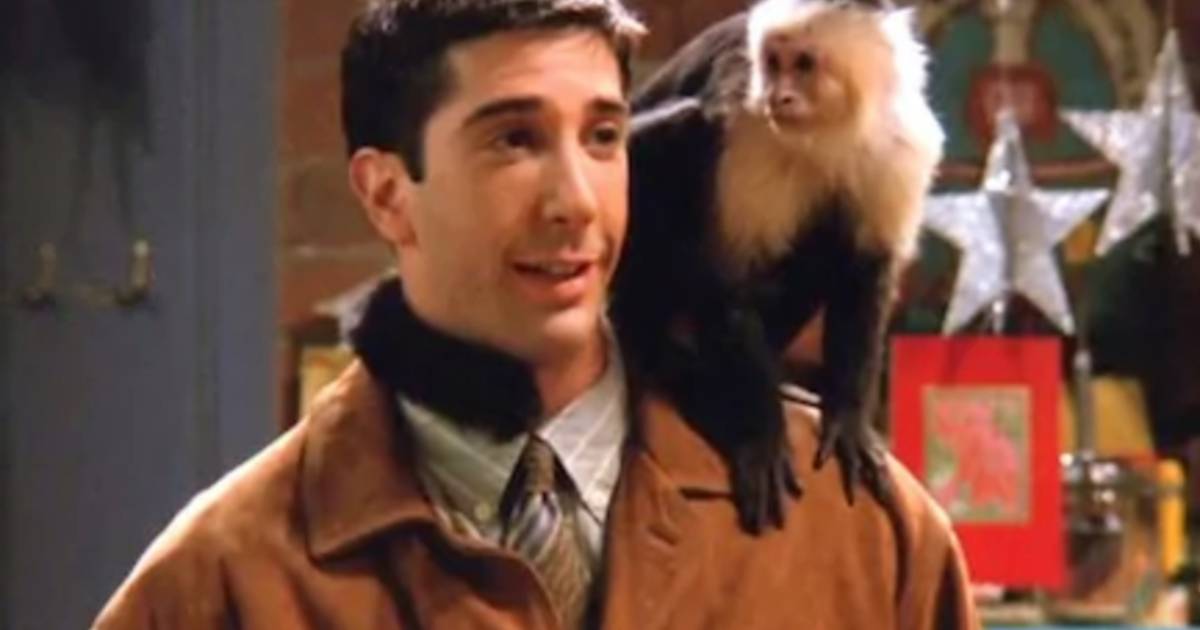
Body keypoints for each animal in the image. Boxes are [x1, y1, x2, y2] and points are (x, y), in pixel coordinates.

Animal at [610, 0, 944, 533]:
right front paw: (761, 437)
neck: (832, 132)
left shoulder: (900, 145)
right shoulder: (744, 126)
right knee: (681, 129)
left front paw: (850, 419)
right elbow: (727, 283)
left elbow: (867, 272)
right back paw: (657, 348)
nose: (778, 96)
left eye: (803, 64)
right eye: (772, 63)